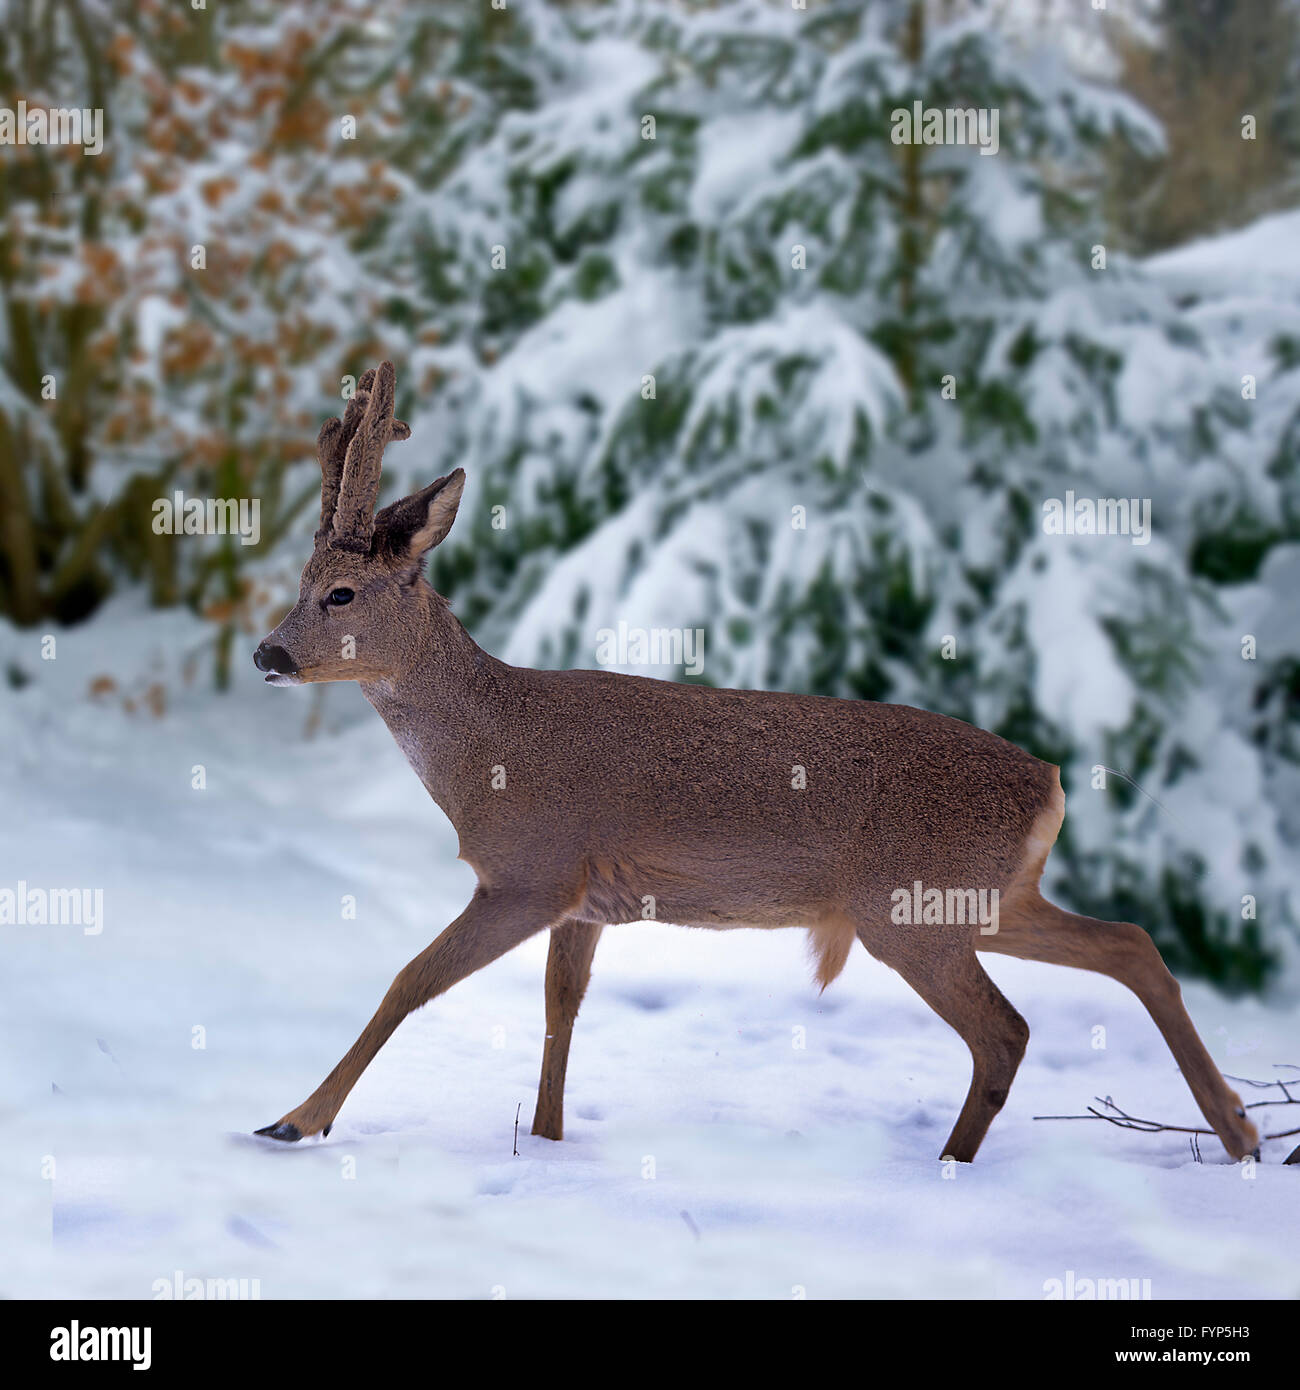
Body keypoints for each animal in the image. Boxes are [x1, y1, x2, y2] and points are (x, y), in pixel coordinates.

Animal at [251, 361, 1260, 1164]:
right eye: (298, 586)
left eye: (342, 593)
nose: (269, 653)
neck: (485, 755)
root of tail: (1047, 784)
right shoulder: (586, 898)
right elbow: (559, 1012)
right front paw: (546, 1142)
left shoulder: (530, 872)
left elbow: (410, 982)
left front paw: (295, 1119)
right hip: (984, 897)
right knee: (1131, 945)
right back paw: (1241, 1131)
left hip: (911, 906)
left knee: (1007, 1028)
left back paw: (954, 1164)